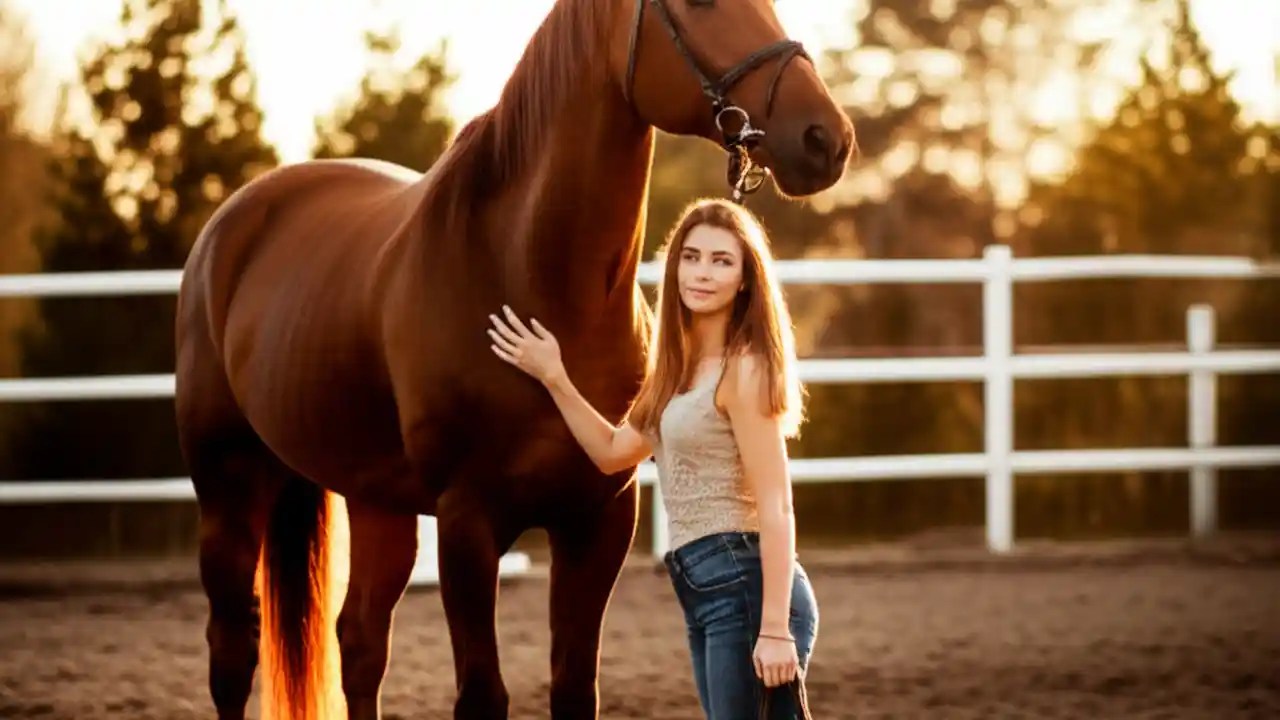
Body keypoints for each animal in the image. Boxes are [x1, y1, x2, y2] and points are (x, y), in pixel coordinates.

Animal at [173, 1, 854, 718]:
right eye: (698, 4)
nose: (826, 138)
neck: (528, 276)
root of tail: (230, 224)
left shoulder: (597, 521)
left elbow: (573, 686)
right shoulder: (466, 523)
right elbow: (482, 692)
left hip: (377, 501)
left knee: (358, 641)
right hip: (228, 490)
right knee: (232, 651)